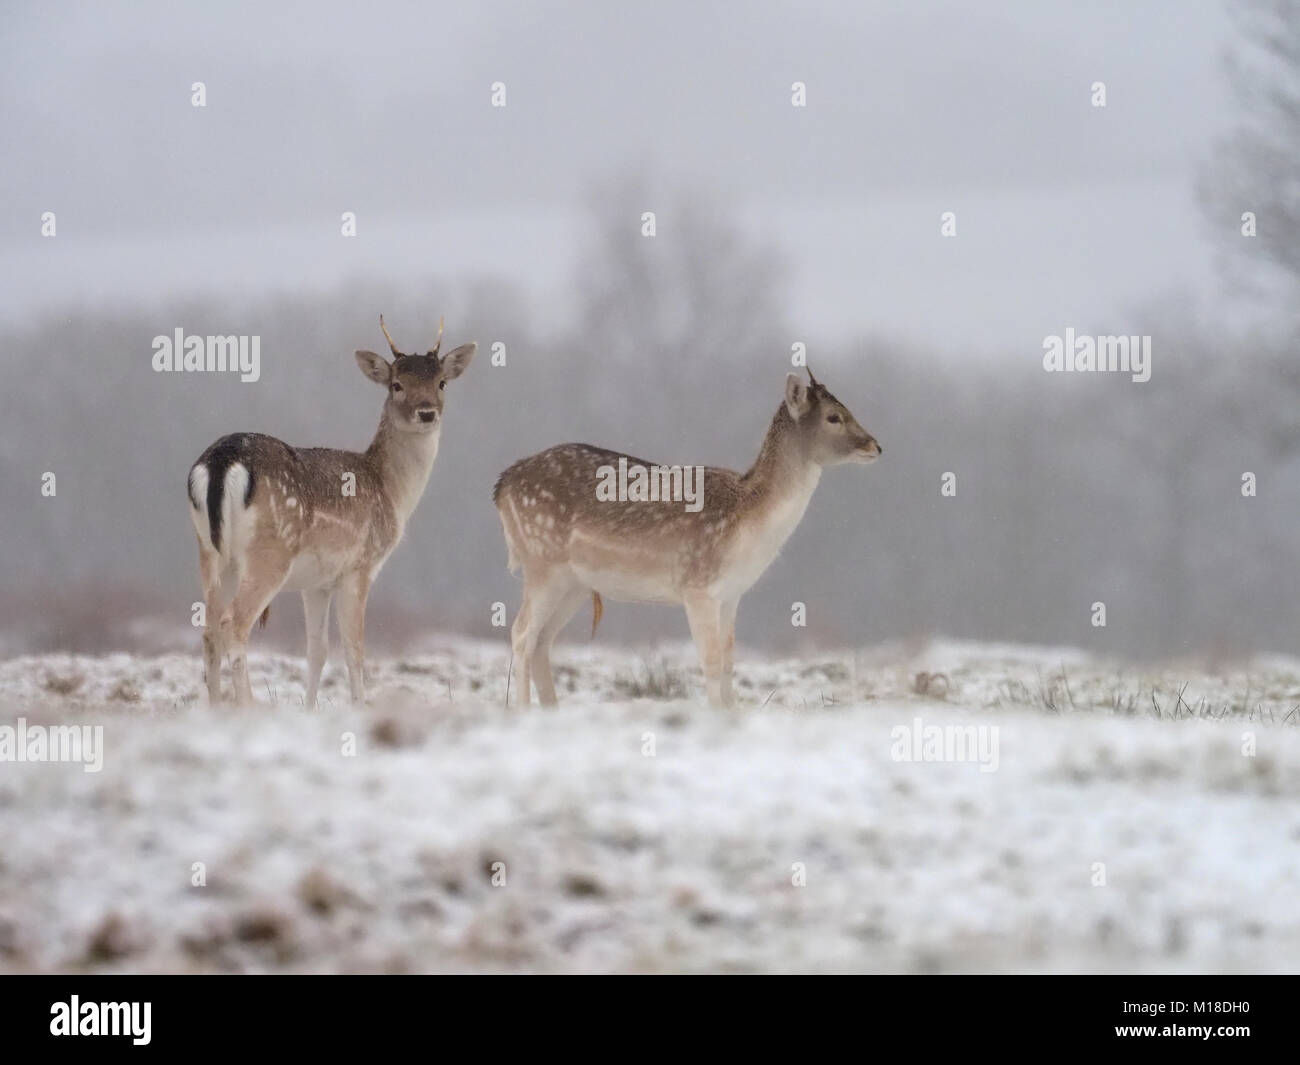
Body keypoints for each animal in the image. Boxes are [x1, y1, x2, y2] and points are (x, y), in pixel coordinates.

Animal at [186, 316, 476, 707]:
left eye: (442, 382)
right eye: (396, 385)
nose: (427, 411)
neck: (392, 492)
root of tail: (220, 460)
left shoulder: (317, 582)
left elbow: (318, 650)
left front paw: (310, 709)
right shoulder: (360, 565)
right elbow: (355, 649)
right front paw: (359, 705)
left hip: (210, 551)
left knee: (208, 630)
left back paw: (216, 707)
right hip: (269, 553)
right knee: (234, 623)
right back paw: (247, 705)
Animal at [493, 367, 881, 708]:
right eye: (834, 416)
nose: (875, 446)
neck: (749, 524)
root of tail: (502, 485)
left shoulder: (731, 594)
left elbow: (728, 662)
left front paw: (733, 712)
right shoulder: (697, 585)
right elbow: (710, 661)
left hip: (573, 582)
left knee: (542, 641)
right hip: (542, 562)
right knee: (521, 634)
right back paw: (524, 710)